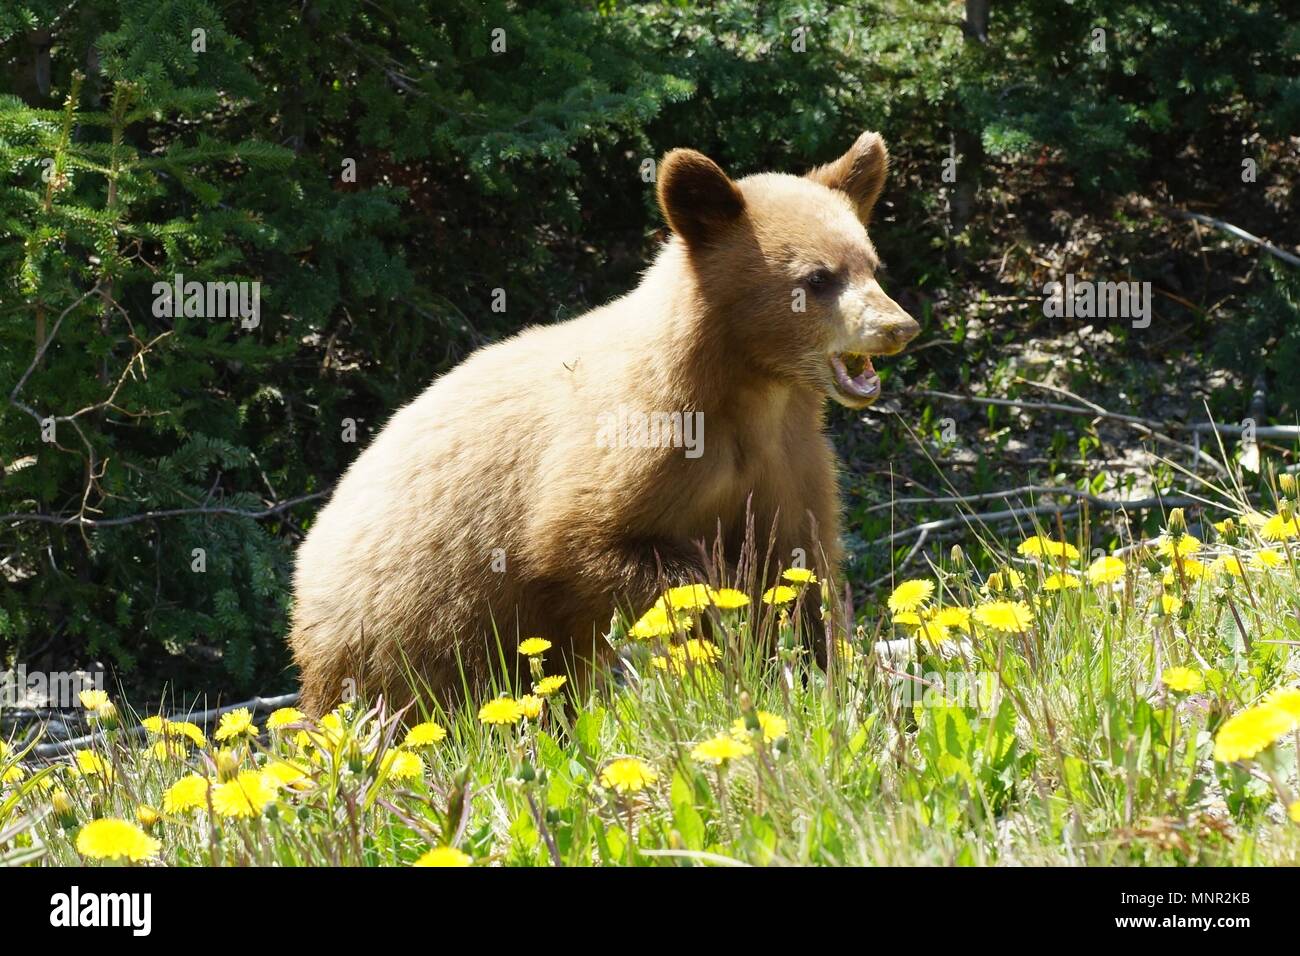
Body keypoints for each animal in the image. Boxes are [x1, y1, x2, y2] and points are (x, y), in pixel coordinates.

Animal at [289, 131, 920, 715]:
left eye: (873, 265)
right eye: (818, 278)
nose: (899, 326)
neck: (753, 391)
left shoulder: (791, 463)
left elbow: (802, 570)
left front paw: (820, 675)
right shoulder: (634, 447)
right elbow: (587, 542)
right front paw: (724, 599)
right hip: (407, 620)